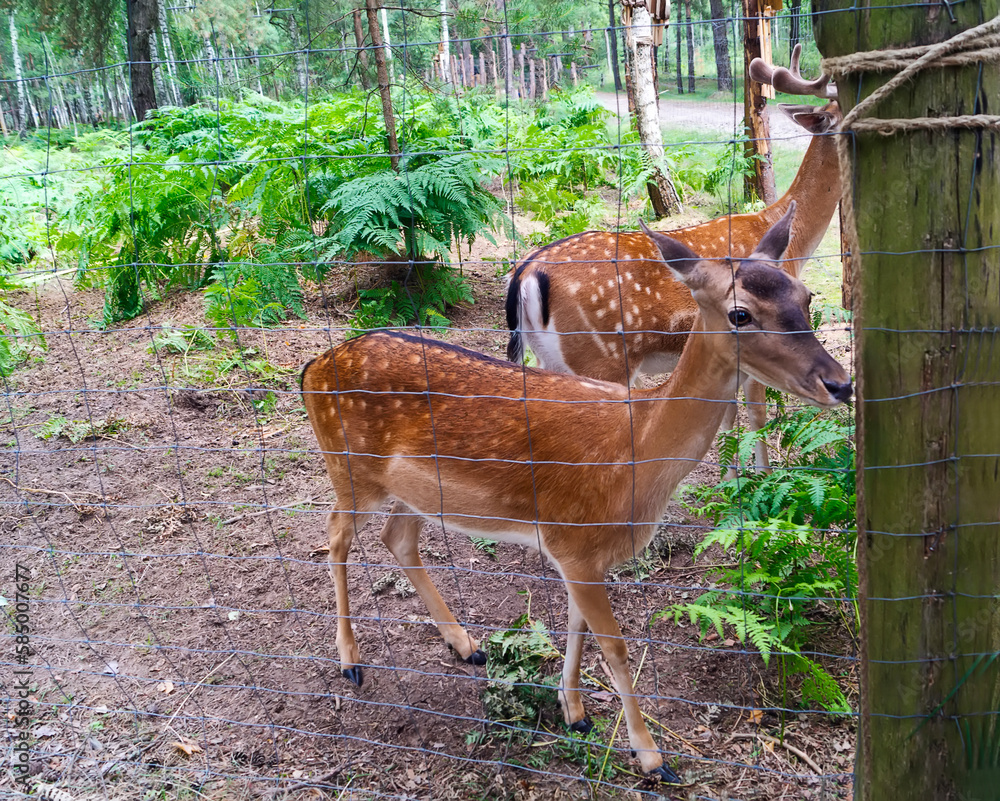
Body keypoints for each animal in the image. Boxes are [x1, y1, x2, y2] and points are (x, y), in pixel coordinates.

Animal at [300, 204, 852, 784]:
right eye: (740, 313)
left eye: (805, 296)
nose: (840, 383)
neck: (636, 452)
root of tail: (311, 369)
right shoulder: (574, 541)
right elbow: (614, 645)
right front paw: (651, 757)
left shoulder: (578, 551)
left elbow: (578, 627)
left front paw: (575, 712)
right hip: (350, 469)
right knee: (335, 535)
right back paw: (351, 661)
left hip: (413, 491)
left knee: (397, 538)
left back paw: (467, 644)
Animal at [505, 44, 840, 476]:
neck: (792, 240)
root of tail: (527, 273)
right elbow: (756, 415)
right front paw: (760, 479)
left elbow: (727, 418)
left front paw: (730, 479)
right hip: (600, 358)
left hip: (549, 358)